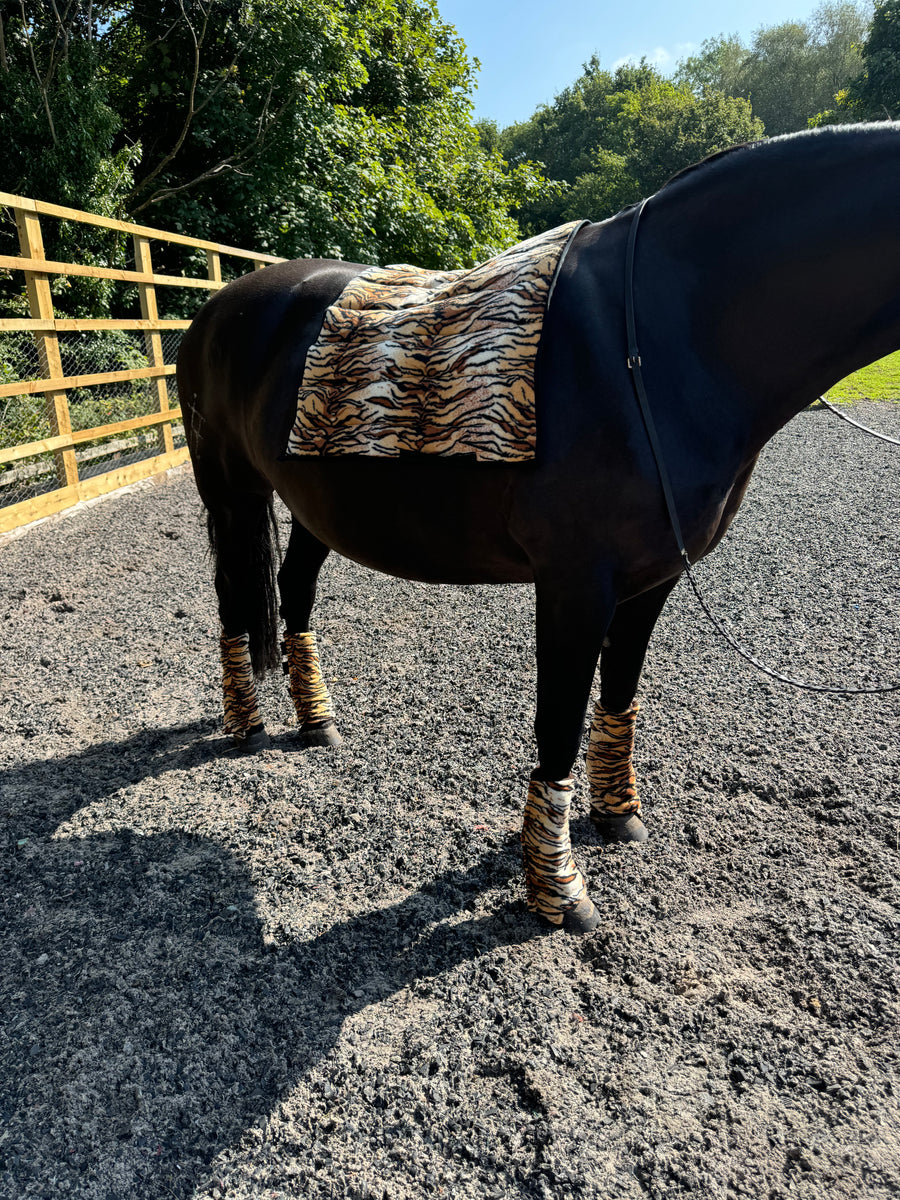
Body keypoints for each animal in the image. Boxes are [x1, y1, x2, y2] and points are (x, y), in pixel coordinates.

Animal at [177, 123, 900, 933]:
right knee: (235, 598)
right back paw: (245, 728)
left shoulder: (650, 579)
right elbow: (558, 722)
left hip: (314, 505)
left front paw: (618, 816)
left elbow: (618, 695)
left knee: (293, 592)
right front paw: (559, 892)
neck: (658, 337)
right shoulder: (575, 585)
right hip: (231, 494)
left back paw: (317, 724)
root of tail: (217, 308)